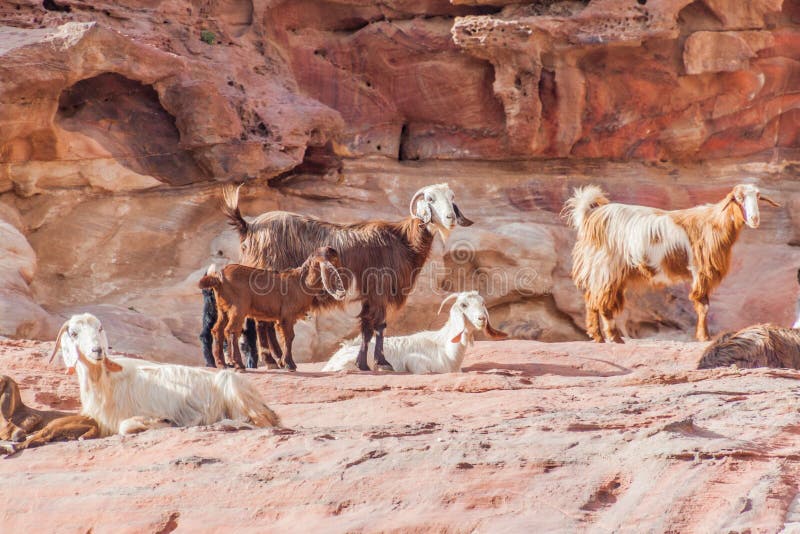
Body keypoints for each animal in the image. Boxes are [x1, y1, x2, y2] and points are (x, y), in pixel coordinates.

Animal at [50, 313, 280, 436]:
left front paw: (162, 423)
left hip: (234, 388)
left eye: (99, 329)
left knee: (261, 423)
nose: (97, 351)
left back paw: (225, 423)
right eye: (73, 333)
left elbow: (126, 426)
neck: (106, 381)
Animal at [199, 247, 347, 371]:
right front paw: (289, 364)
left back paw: (222, 364)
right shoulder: (287, 315)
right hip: (238, 308)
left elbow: (283, 336)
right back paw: (239, 365)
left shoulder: (279, 318)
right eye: (334, 259)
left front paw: (282, 362)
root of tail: (218, 277)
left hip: (222, 309)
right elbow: (289, 337)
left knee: (217, 330)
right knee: (231, 330)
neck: (300, 282)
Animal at [563, 183, 778, 343]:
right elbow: (703, 305)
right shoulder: (700, 270)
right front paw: (704, 337)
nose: (755, 219)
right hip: (607, 267)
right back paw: (614, 337)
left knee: (592, 299)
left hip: (599, 269)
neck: (715, 223)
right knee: (603, 302)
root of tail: (591, 216)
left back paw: (597, 336)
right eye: (739, 198)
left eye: (758, 197)